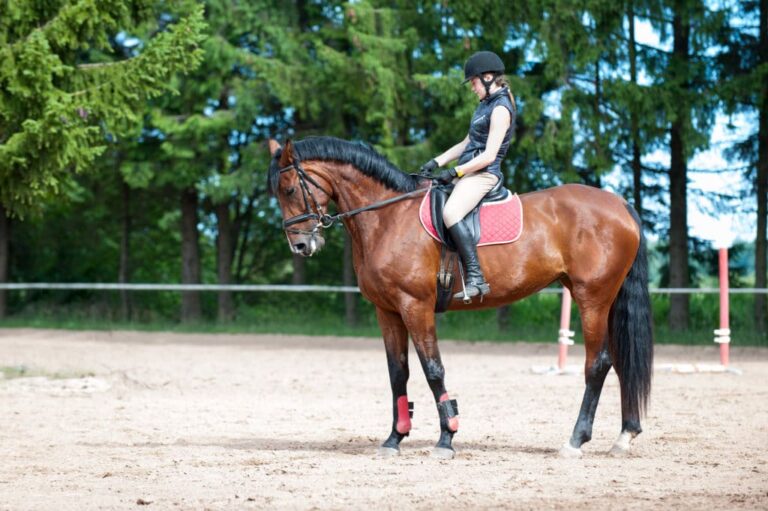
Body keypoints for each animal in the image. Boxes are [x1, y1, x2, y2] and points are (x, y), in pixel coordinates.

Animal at [267, 136, 653, 459]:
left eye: (289, 188)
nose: (300, 246)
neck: (387, 216)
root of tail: (620, 204)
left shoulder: (415, 306)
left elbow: (433, 369)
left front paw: (446, 438)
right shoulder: (387, 311)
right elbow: (398, 373)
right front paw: (394, 438)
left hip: (592, 299)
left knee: (598, 364)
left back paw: (575, 441)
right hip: (603, 299)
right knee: (621, 361)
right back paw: (625, 436)